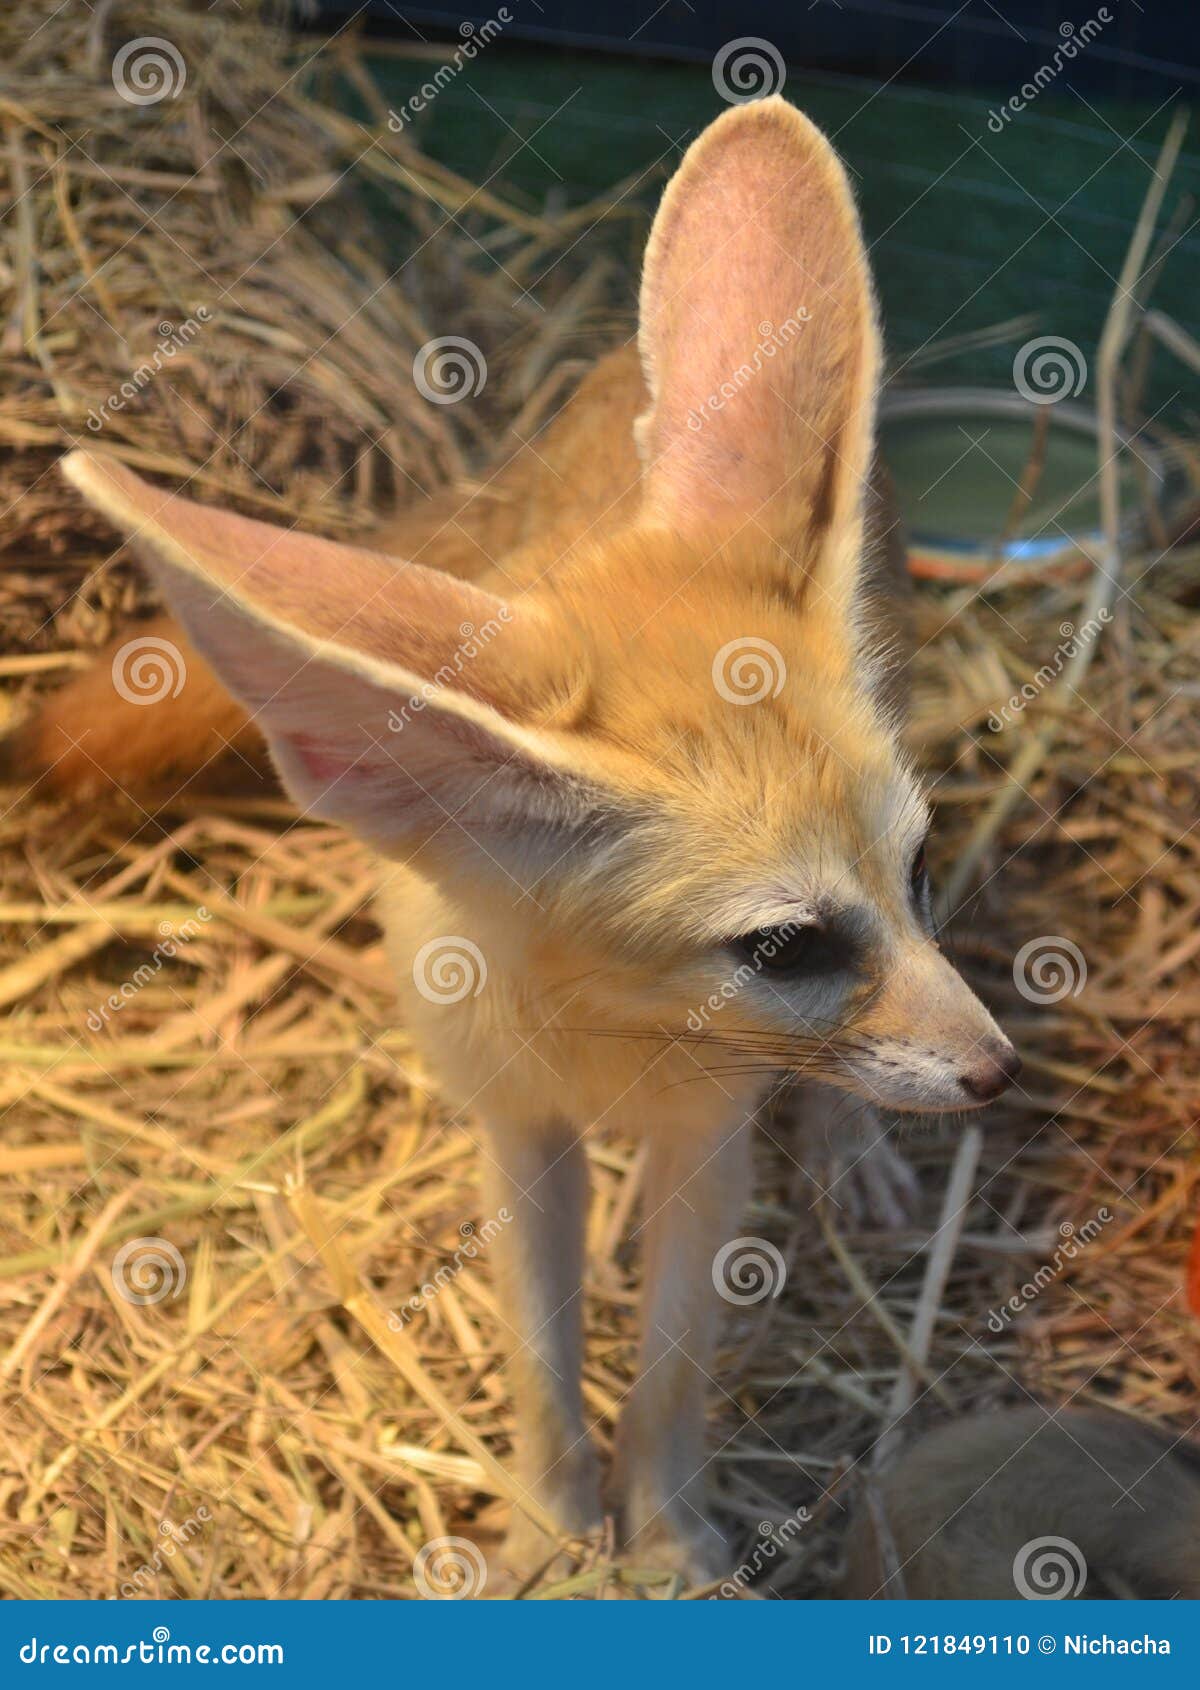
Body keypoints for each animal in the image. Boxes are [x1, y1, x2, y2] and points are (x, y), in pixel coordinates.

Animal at [12, 97, 1019, 1584]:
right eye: (783, 947)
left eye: (918, 866)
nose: (1001, 1069)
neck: (608, 1031)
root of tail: (603, 366)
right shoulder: (515, 1126)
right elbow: (544, 1363)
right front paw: (553, 1534)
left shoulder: (708, 1133)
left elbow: (669, 1372)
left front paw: (669, 1546)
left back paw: (855, 1148)